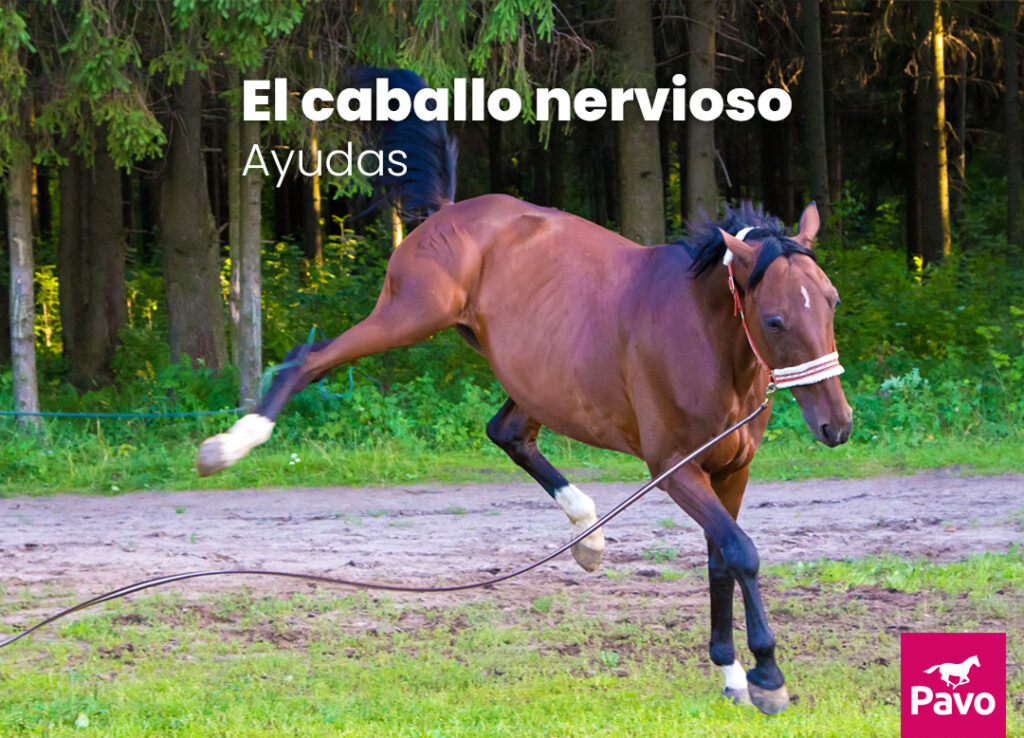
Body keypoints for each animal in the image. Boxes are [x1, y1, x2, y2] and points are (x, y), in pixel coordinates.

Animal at [196, 70, 852, 715]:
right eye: (773, 320)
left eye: (832, 300)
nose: (837, 426)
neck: (705, 340)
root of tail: (447, 212)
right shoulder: (674, 468)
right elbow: (741, 552)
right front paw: (767, 673)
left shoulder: (731, 468)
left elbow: (721, 557)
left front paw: (732, 671)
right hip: (410, 315)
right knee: (307, 362)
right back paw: (229, 446)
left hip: (533, 378)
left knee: (506, 432)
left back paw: (589, 532)